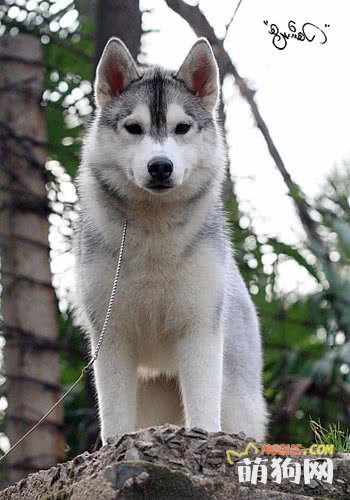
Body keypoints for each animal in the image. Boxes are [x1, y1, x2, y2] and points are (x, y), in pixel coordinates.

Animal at [72, 37, 266, 444]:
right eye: (134, 128)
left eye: (181, 128)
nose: (160, 166)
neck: (154, 229)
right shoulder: (111, 336)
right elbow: (114, 416)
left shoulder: (198, 330)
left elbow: (204, 410)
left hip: (235, 396)